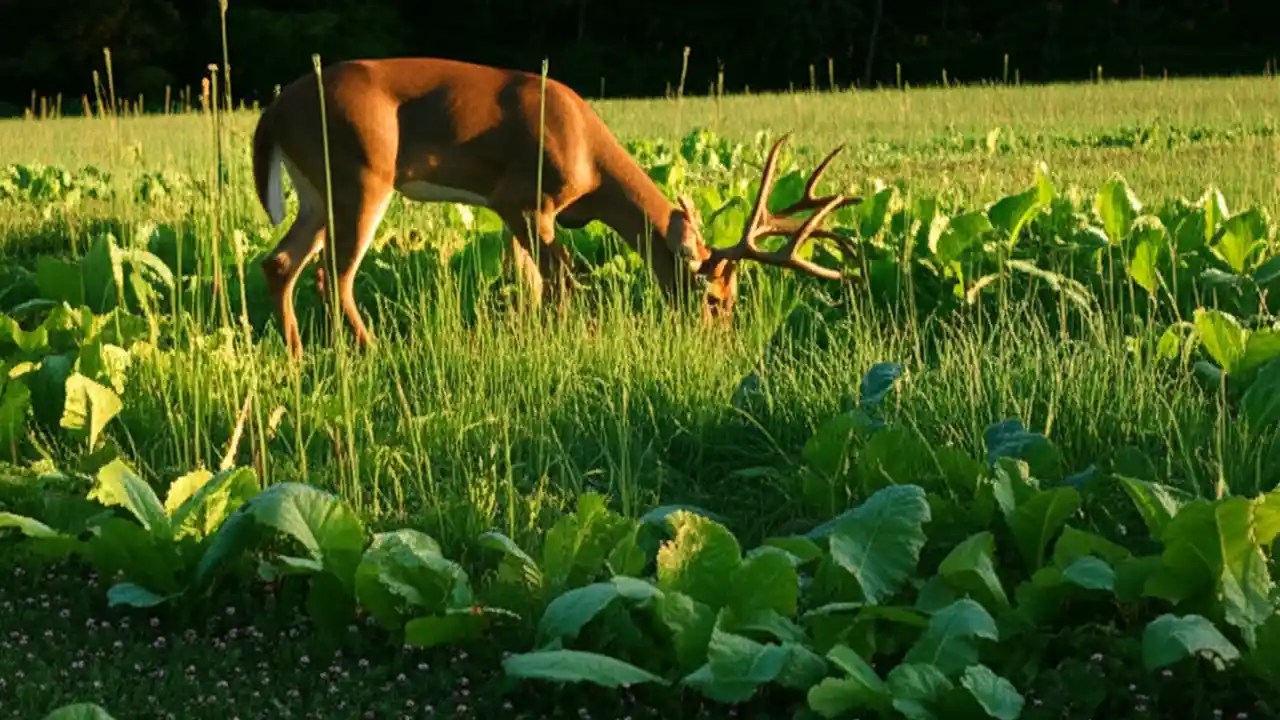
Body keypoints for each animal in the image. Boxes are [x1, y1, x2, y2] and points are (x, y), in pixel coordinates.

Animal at [250, 57, 859, 359]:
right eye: (713, 298)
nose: (722, 342)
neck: (592, 162)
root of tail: (273, 110)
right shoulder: (525, 199)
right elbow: (563, 281)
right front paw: (569, 342)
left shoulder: (510, 214)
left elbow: (532, 284)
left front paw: (531, 338)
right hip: (360, 173)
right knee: (335, 273)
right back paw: (373, 352)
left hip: (317, 190)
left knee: (281, 263)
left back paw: (297, 356)